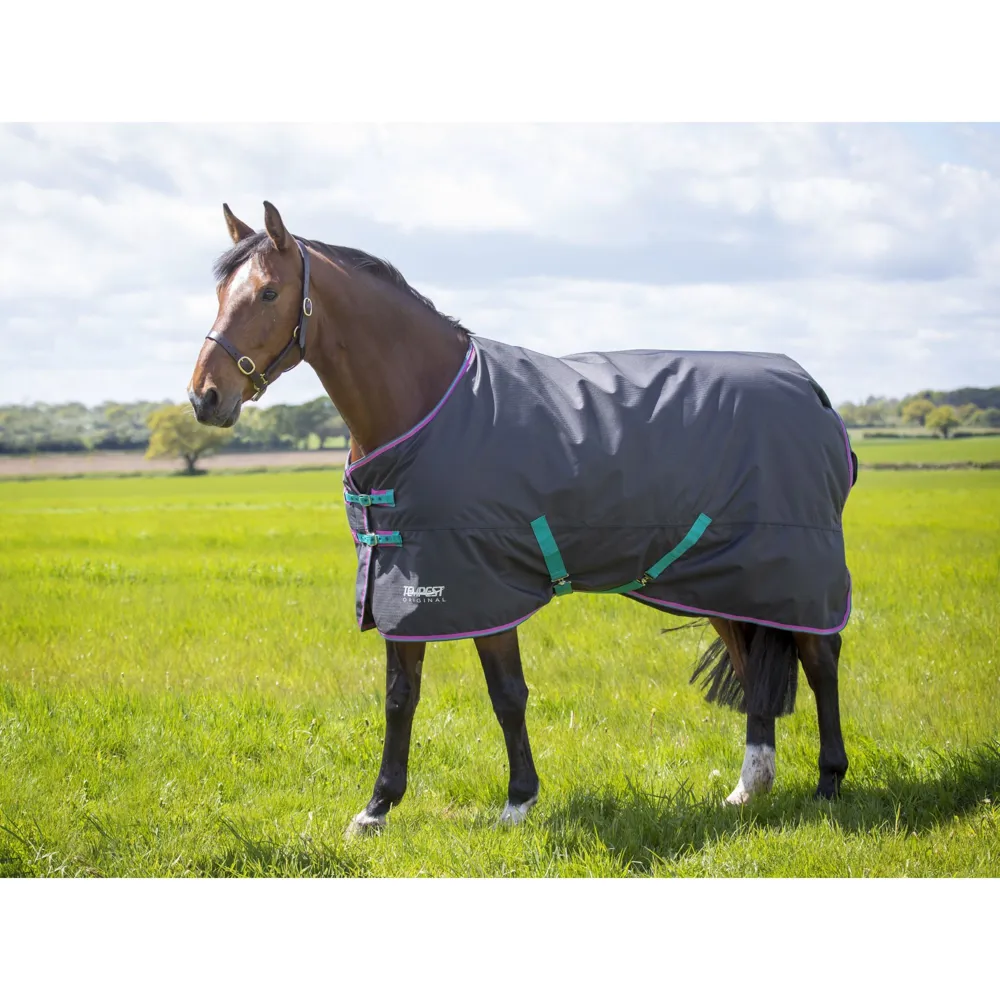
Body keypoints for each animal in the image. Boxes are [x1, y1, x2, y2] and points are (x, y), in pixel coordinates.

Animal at [188, 202, 853, 838]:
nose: (204, 397)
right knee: (751, 661)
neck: (429, 406)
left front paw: (517, 802)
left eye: (268, 293)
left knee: (821, 658)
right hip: (729, 578)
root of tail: (813, 391)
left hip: (796, 574)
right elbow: (401, 696)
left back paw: (829, 783)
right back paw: (749, 788)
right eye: (221, 293)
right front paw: (376, 809)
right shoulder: (403, 583)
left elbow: (506, 694)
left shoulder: (483, 586)